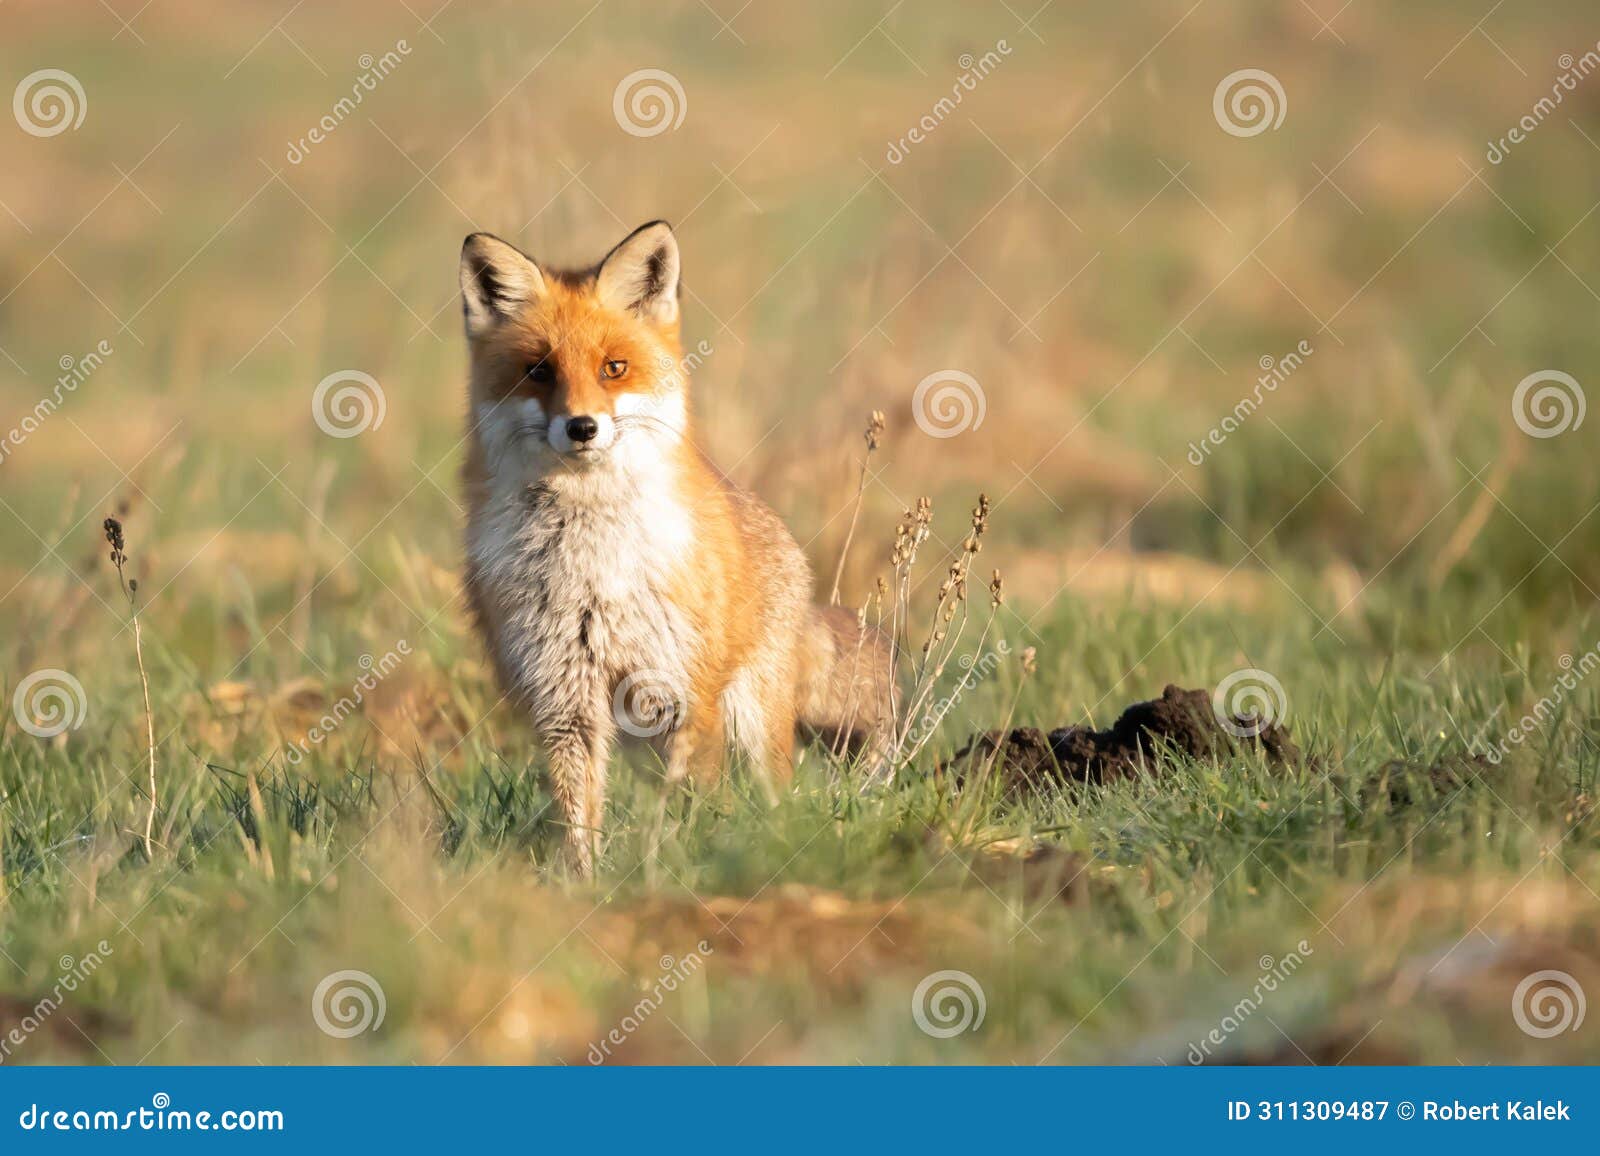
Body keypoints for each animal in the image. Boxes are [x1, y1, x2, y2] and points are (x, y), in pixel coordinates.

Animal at [458, 221, 894, 876]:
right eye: (538, 371)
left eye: (614, 367)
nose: (582, 427)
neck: (592, 568)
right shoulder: (565, 700)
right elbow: (579, 817)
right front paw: (585, 885)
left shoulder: (685, 695)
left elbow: (694, 802)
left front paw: (687, 864)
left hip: (748, 719)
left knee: (776, 792)